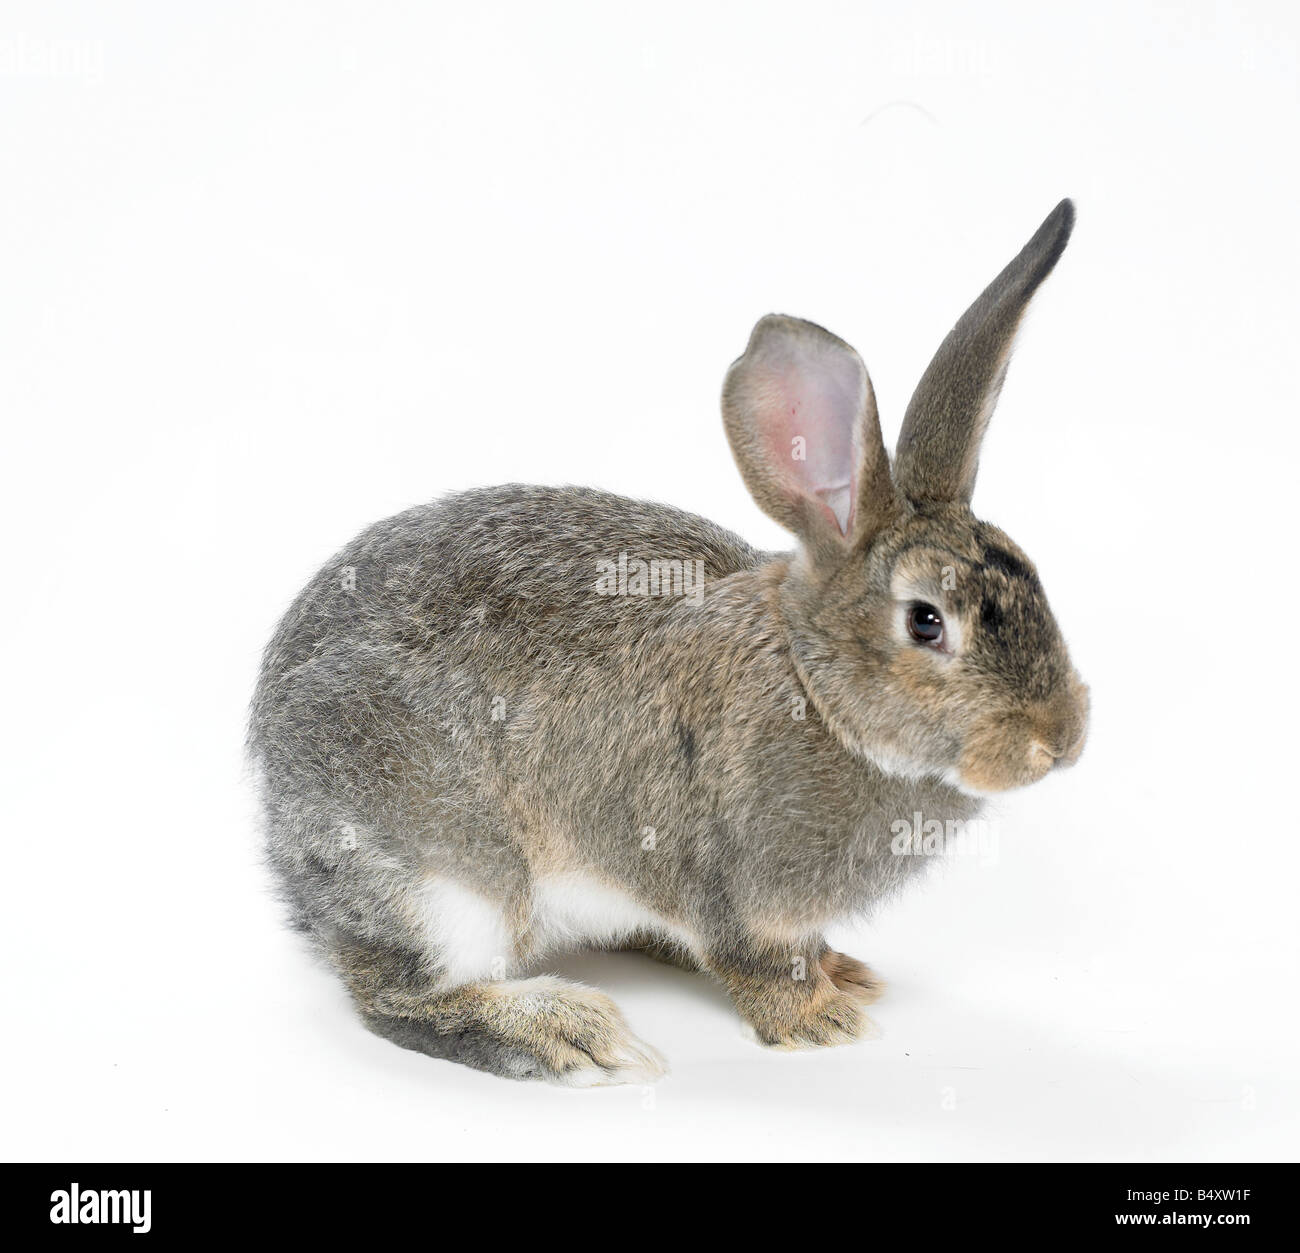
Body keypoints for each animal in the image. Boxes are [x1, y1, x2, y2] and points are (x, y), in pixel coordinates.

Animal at [249, 199, 1088, 1085]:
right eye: (926, 621)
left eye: (1037, 579)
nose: (1061, 738)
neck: (813, 688)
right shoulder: (732, 886)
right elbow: (757, 962)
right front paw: (821, 1018)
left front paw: (843, 972)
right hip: (443, 877)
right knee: (398, 994)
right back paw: (570, 1031)